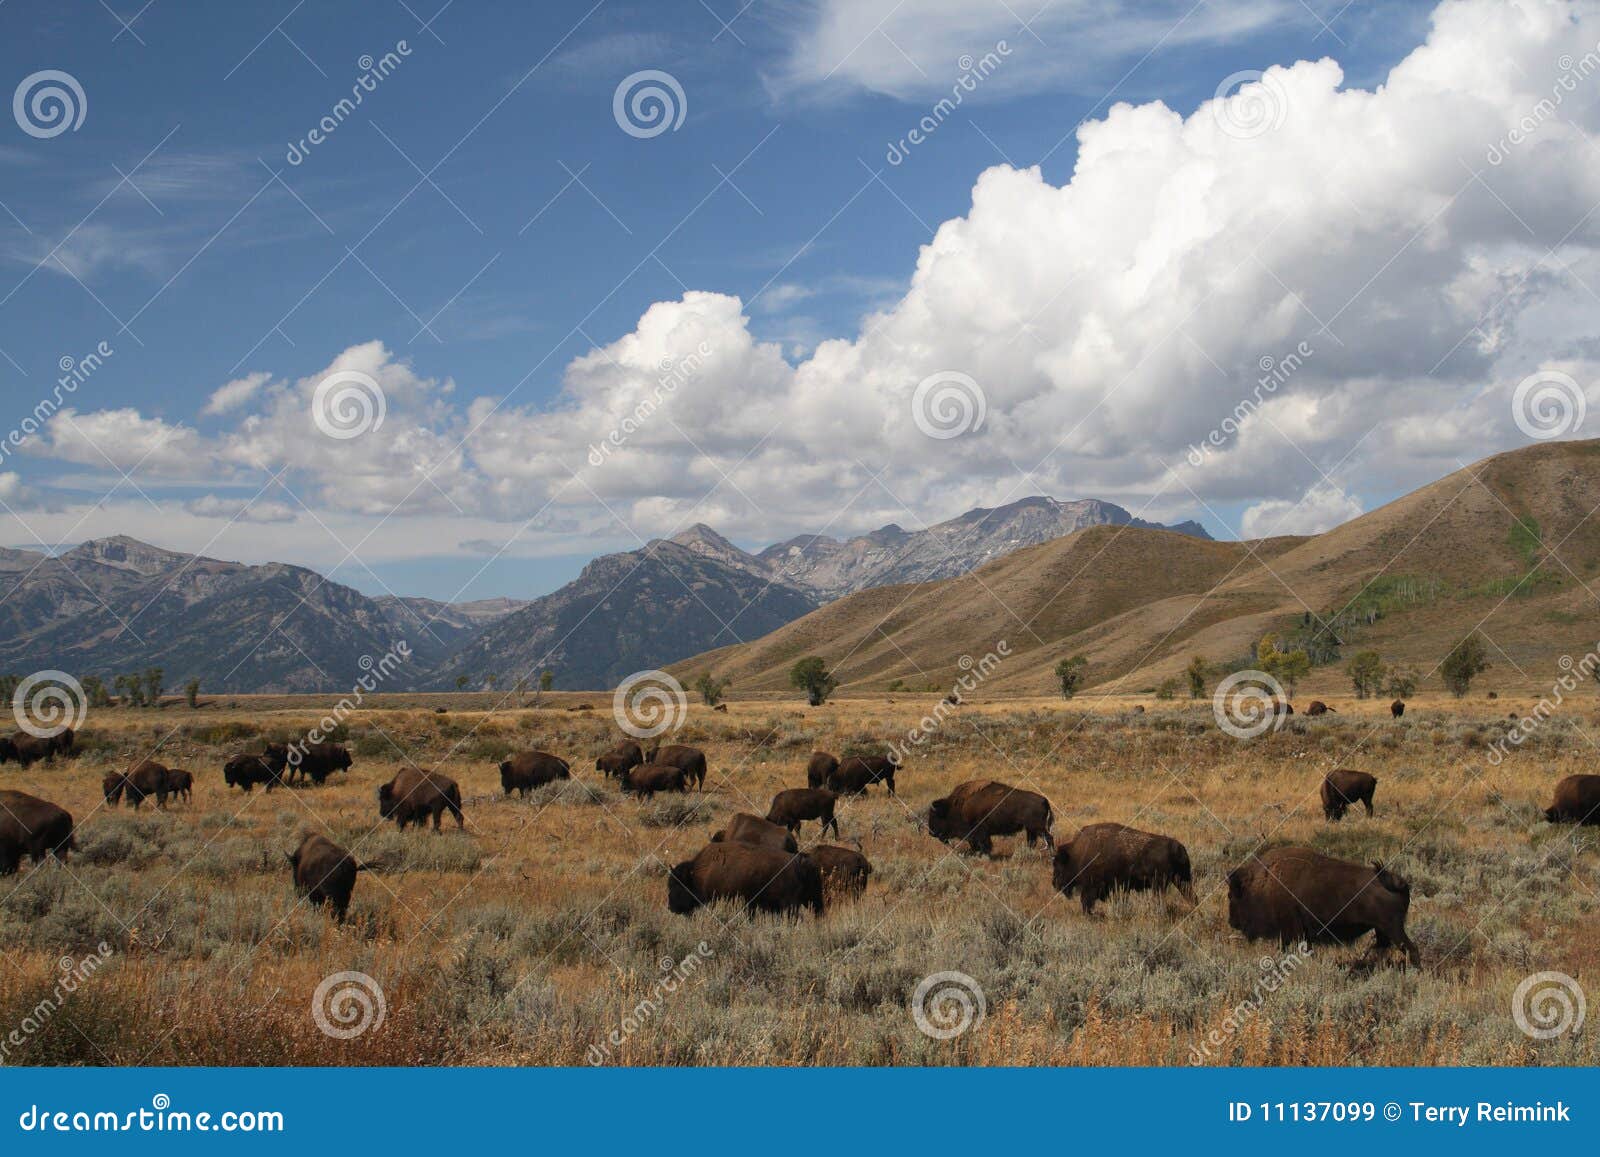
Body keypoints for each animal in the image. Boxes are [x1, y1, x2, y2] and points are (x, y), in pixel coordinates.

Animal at [1052, 822, 1194, 914]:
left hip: (1160, 884)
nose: (1054, 883)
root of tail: (1179, 847)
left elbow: (1086, 901)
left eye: (1058, 864)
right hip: (1181, 880)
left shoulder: (1092, 886)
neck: (1077, 853)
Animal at [1227, 846, 1419, 966]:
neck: (1262, 884)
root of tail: (1397, 882)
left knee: (1411, 949)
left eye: (1231, 896)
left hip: (1393, 929)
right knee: (1382, 947)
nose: (1232, 922)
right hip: (1383, 930)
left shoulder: (1291, 932)